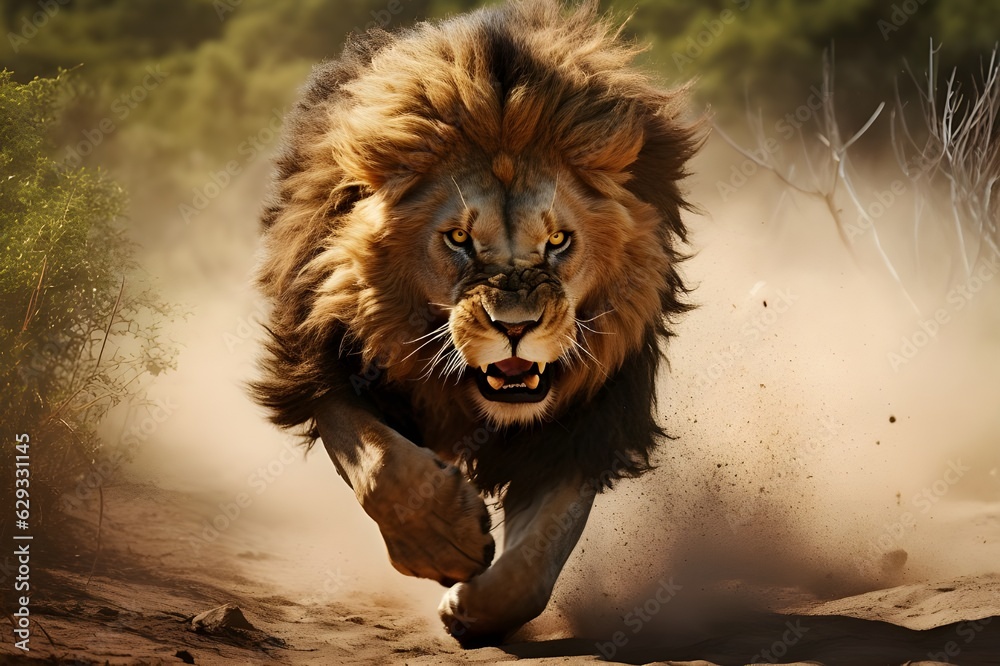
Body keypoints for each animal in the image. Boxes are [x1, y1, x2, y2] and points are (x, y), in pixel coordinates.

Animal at [251, 0, 701, 645]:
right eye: (459, 240)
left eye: (558, 241)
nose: (515, 326)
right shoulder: (322, 362)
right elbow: (383, 467)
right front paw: (447, 543)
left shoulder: (586, 419)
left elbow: (535, 563)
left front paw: (473, 609)